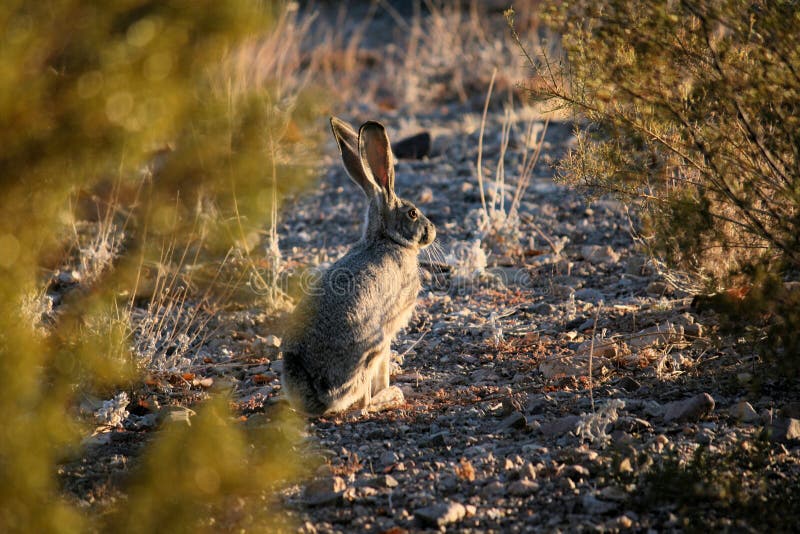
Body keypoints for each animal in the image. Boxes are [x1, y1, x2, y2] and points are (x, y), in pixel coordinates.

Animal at [280, 117, 436, 416]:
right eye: (412, 213)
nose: (432, 231)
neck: (385, 239)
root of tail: (317, 395)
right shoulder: (389, 330)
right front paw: (389, 387)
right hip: (369, 348)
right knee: (362, 405)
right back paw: (392, 396)